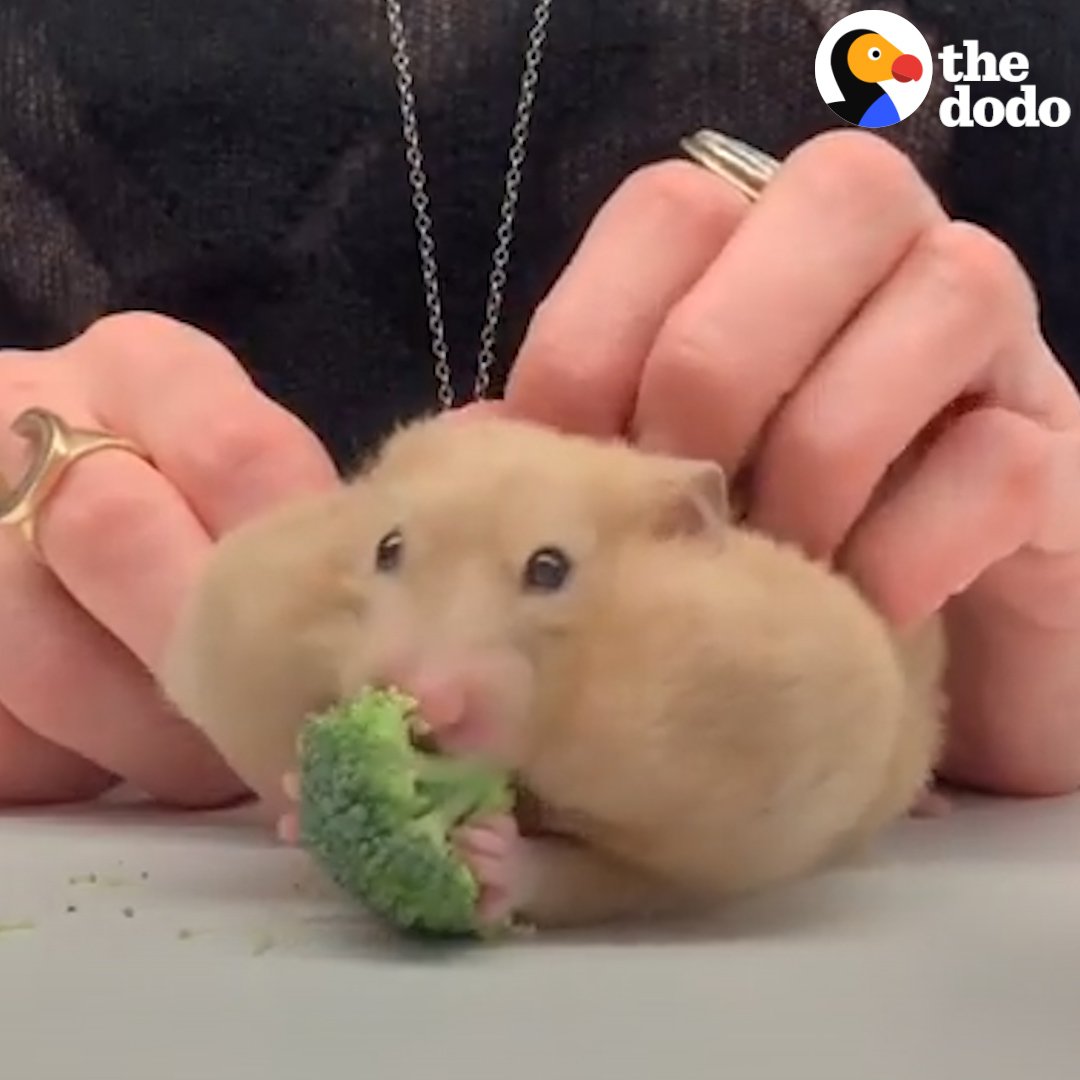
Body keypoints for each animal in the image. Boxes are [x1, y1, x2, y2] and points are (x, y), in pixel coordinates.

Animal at [161, 412, 947, 929]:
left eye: (550, 568)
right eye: (387, 547)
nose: (422, 704)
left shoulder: (716, 843)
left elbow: (590, 874)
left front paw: (492, 854)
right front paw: (299, 800)